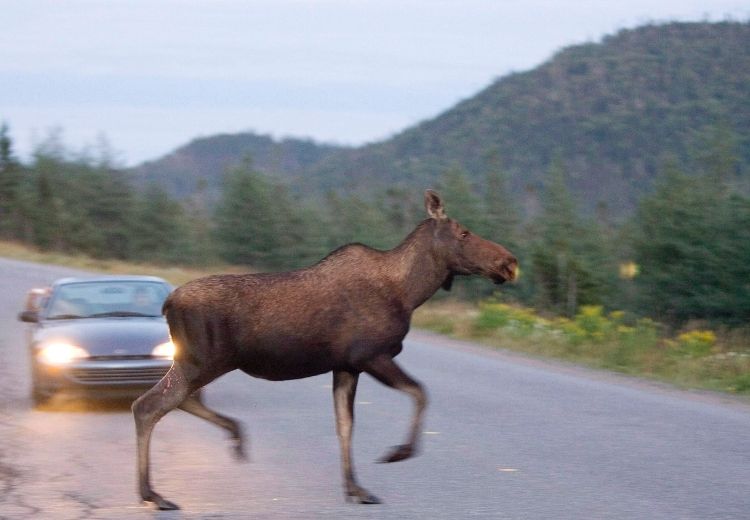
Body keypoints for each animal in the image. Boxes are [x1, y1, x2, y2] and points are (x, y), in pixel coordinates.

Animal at [132, 189, 518, 510]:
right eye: (464, 233)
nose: (509, 262)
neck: (409, 292)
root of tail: (167, 303)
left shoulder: (347, 366)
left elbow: (345, 425)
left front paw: (356, 489)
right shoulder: (371, 355)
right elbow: (420, 392)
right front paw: (397, 453)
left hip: (196, 363)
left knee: (176, 402)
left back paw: (229, 437)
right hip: (202, 362)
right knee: (148, 406)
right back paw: (153, 493)